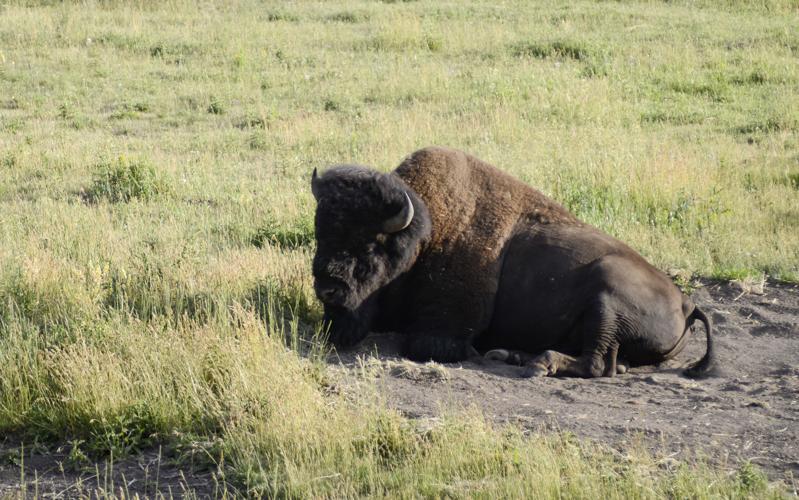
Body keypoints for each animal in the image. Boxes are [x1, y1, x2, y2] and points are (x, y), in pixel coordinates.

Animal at [310, 146, 713, 378]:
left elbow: (429, 344)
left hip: (607, 292)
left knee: (597, 363)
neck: (428, 234)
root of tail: (685, 301)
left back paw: (535, 362)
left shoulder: (445, 326)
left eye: (370, 245)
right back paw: (513, 355)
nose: (328, 289)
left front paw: (475, 352)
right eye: (320, 232)